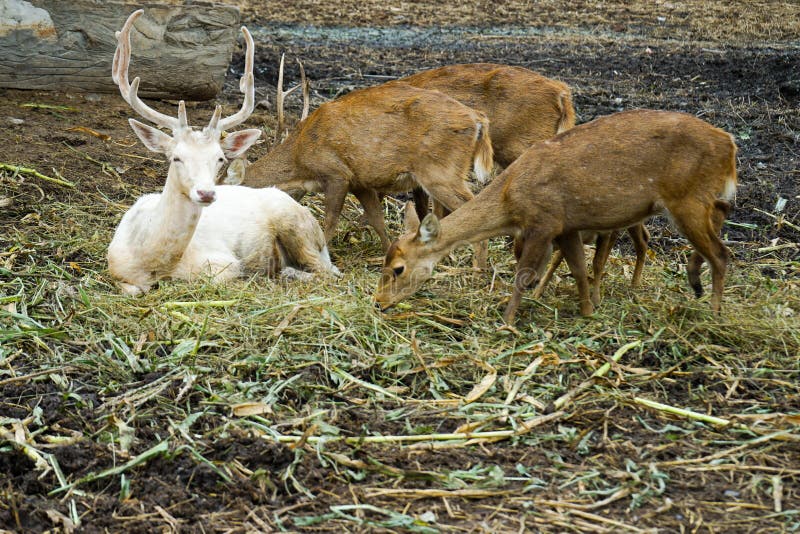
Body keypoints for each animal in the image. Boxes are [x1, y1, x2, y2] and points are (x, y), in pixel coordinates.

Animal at [107, 10, 339, 296]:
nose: (206, 193)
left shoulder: (223, 262)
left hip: (298, 226)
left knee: (327, 272)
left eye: (219, 158)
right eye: (176, 157)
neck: (149, 261)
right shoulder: (113, 265)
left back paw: (286, 272)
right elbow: (132, 289)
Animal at [374, 109, 737, 324]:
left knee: (722, 252)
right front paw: (588, 311)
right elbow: (577, 268)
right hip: (697, 199)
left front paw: (507, 319)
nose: (378, 302)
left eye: (398, 268)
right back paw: (695, 283)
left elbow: (522, 274)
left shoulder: (544, 221)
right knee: (722, 216)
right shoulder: (566, 225)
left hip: (687, 199)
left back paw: (714, 311)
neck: (510, 200)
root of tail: (730, 144)